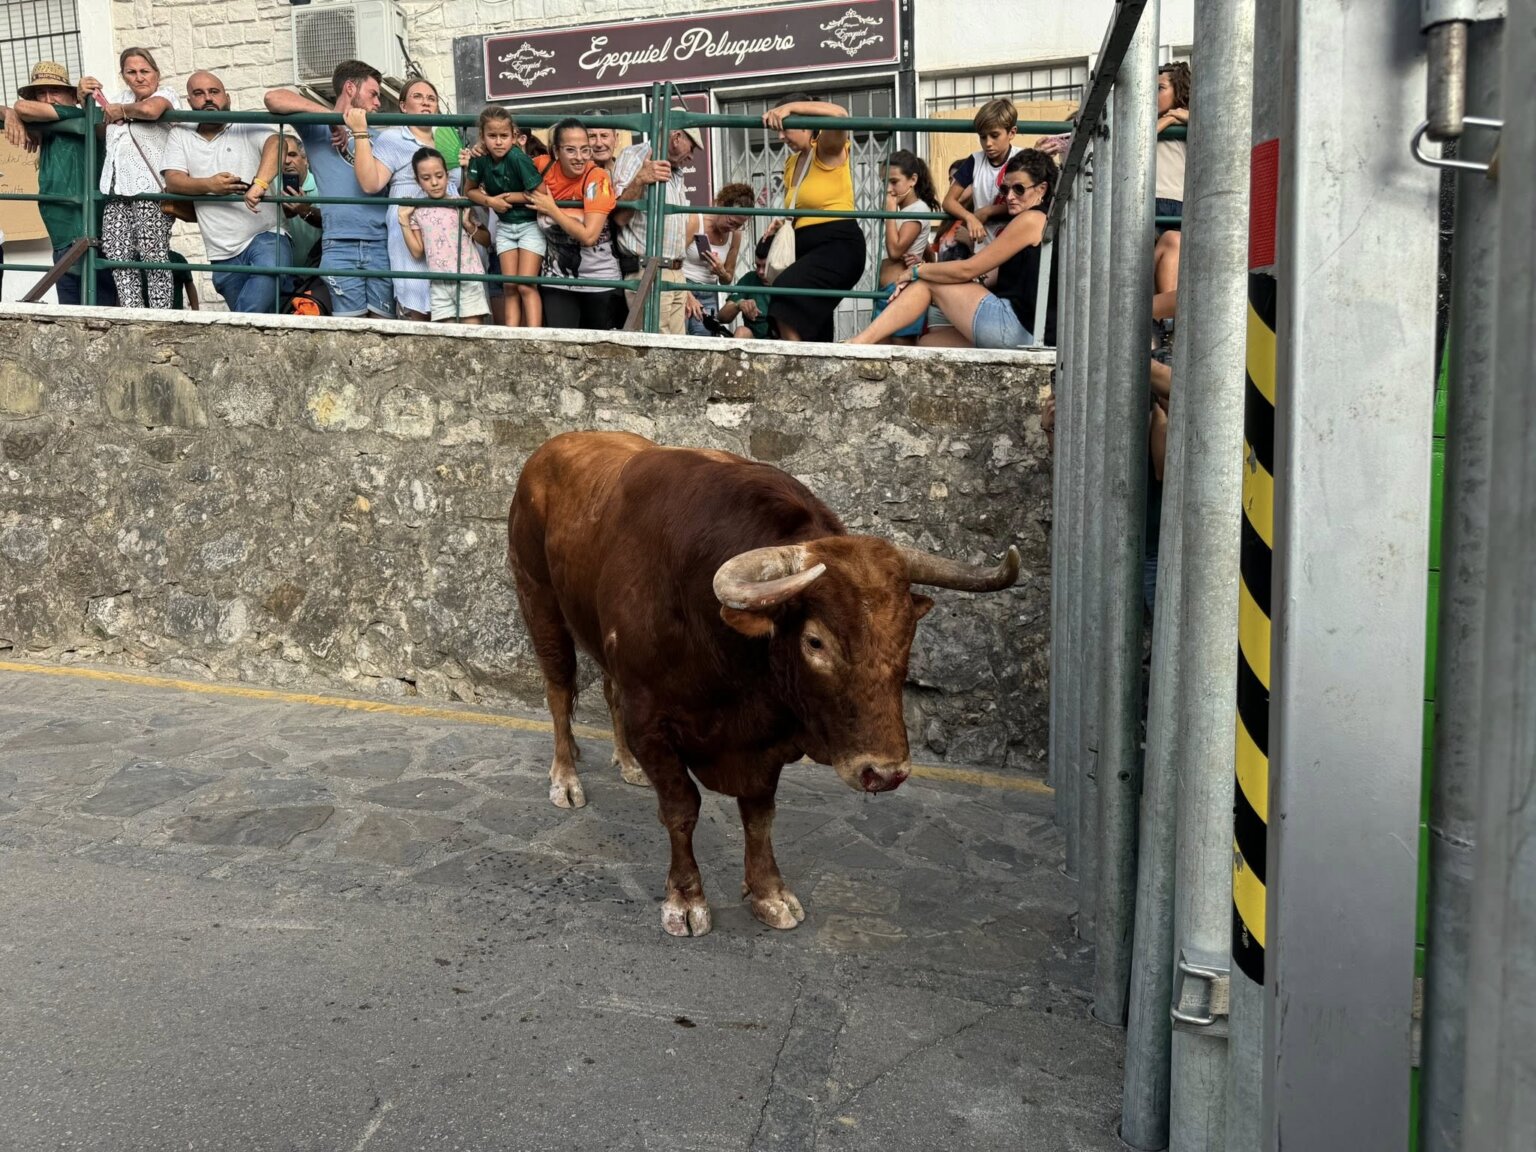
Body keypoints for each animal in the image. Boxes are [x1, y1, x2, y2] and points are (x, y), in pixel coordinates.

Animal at [507, 431, 1018, 937]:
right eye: (815, 641)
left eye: (908, 633)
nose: (885, 772)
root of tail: (551, 450)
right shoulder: (651, 721)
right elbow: (681, 808)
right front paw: (686, 899)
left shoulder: (765, 744)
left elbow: (759, 815)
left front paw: (769, 892)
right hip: (540, 602)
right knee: (559, 691)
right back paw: (565, 778)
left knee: (606, 690)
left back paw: (628, 764)